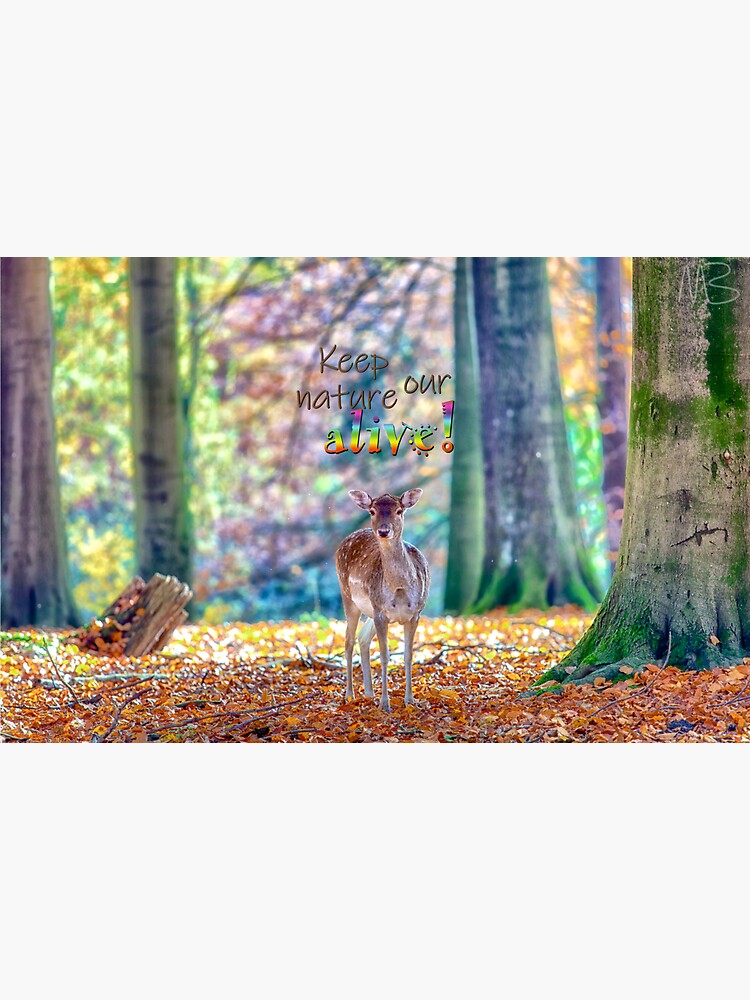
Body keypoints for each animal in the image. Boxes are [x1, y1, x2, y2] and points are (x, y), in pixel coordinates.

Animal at [335, 489, 430, 712]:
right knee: (348, 641)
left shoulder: (415, 613)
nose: (384, 531)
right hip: (348, 596)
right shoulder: (381, 613)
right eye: (372, 511)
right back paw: (350, 695)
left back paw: (369, 693)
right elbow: (385, 656)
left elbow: (408, 655)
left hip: (370, 608)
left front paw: (410, 700)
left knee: (362, 638)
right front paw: (385, 704)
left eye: (399, 510)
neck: (400, 589)